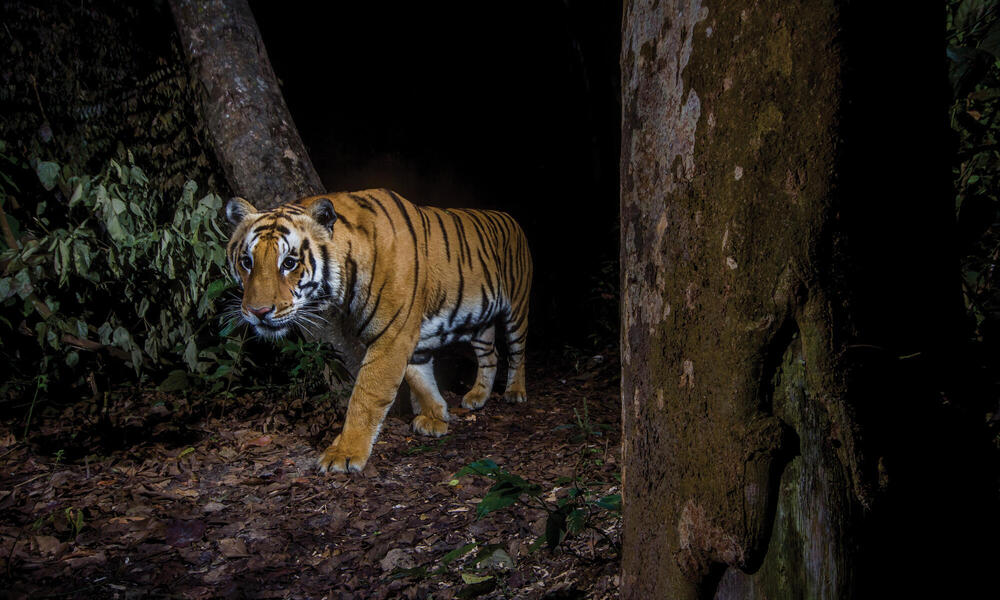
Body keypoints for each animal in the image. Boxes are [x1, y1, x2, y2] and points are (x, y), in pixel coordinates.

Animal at [224, 189, 532, 473]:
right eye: (247, 262)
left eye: (289, 262)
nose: (258, 311)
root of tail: (511, 218)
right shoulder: (409, 337)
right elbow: (420, 378)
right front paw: (436, 416)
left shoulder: (393, 335)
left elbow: (367, 395)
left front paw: (344, 454)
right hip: (480, 322)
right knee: (490, 356)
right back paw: (477, 396)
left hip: (516, 307)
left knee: (517, 352)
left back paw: (515, 392)